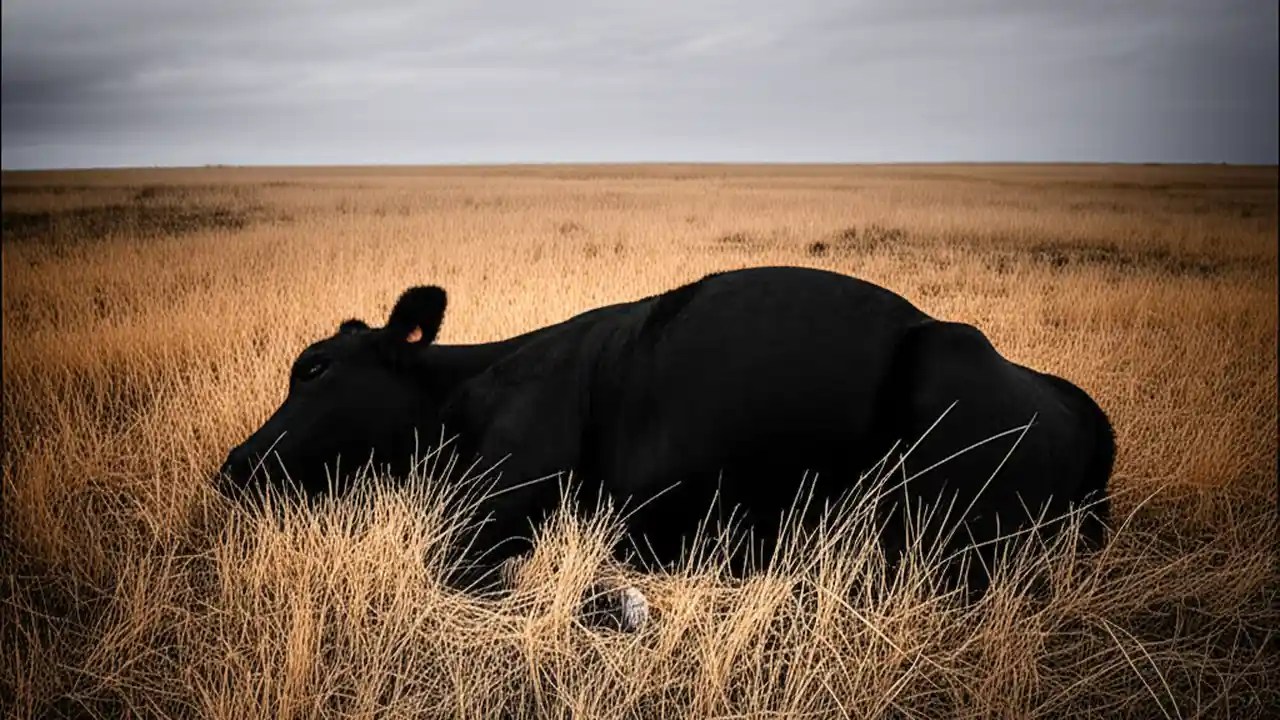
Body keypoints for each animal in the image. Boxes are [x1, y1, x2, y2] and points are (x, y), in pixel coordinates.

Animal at [219, 266, 1113, 608]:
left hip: (942, 501)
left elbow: (473, 574)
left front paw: (617, 601)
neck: (466, 393)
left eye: (314, 369)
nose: (234, 465)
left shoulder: (502, 500)